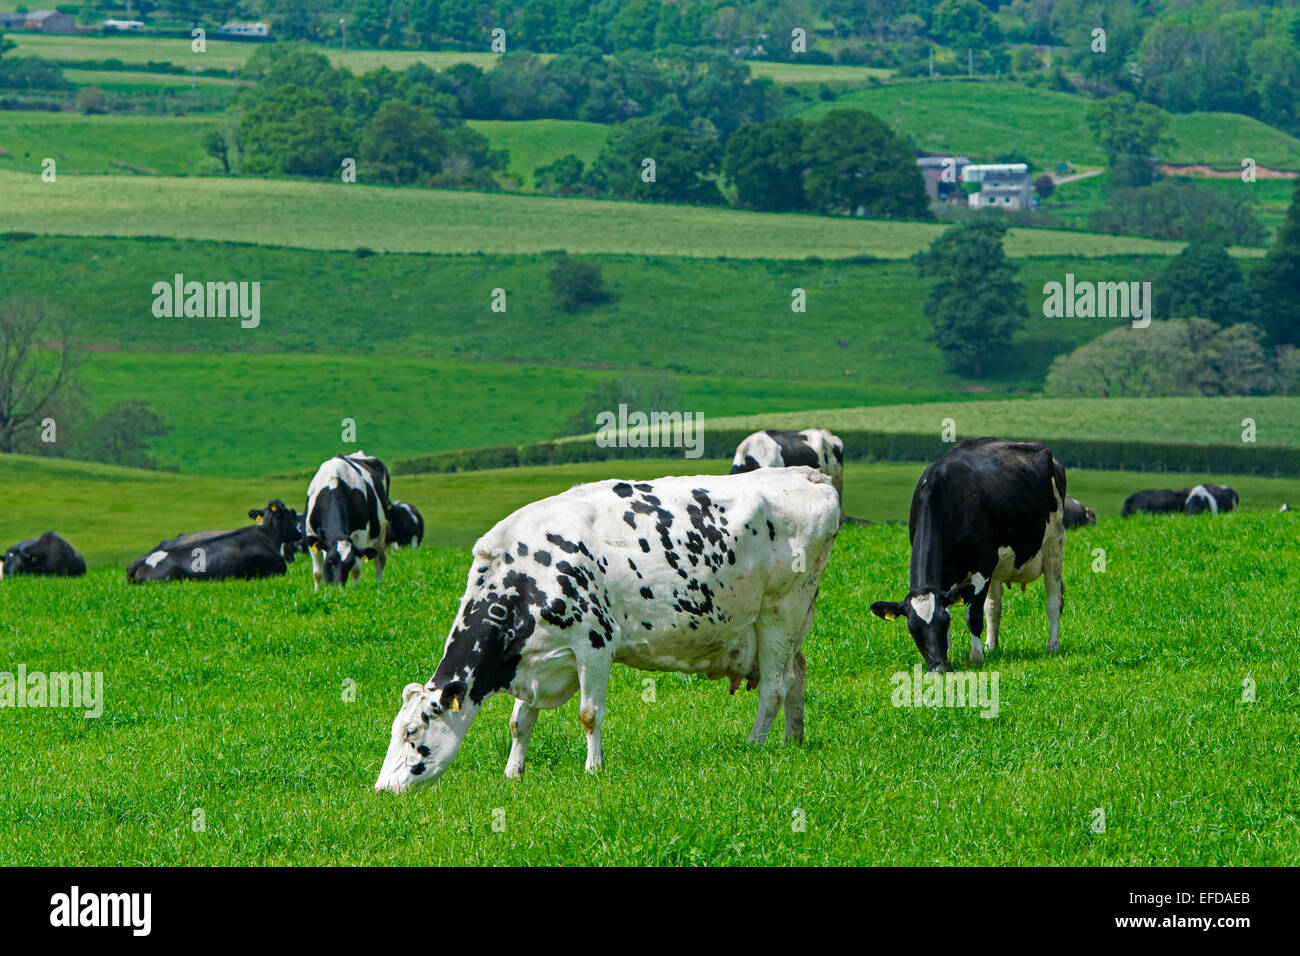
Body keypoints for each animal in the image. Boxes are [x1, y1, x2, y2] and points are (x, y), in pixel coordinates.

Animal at [303, 451, 391, 590]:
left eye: (349, 564)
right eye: (330, 560)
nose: (337, 586)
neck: (333, 484)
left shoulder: (361, 533)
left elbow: (356, 569)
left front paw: (354, 590)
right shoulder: (310, 532)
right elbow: (317, 573)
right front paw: (316, 592)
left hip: (381, 534)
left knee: (380, 561)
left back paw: (379, 585)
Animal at [374, 466, 841, 792]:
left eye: (412, 732)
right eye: (394, 731)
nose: (382, 789)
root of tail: (807, 474)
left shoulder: (594, 645)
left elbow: (588, 714)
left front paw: (593, 769)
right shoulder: (535, 659)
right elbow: (520, 721)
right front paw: (513, 772)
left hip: (781, 610)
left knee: (775, 687)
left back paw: (754, 746)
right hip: (792, 620)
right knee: (797, 674)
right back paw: (792, 741)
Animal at [869, 437, 1066, 673]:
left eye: (943, 621)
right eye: (913, 630)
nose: (939, 668)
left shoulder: (984, 563)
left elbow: (973, 615)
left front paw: (976, 657)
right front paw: (954, 653)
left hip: (1054, 544)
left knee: (1053, 600)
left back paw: (1053, 646)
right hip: (1000, 564)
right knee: (994, 607)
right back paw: (991, 646)